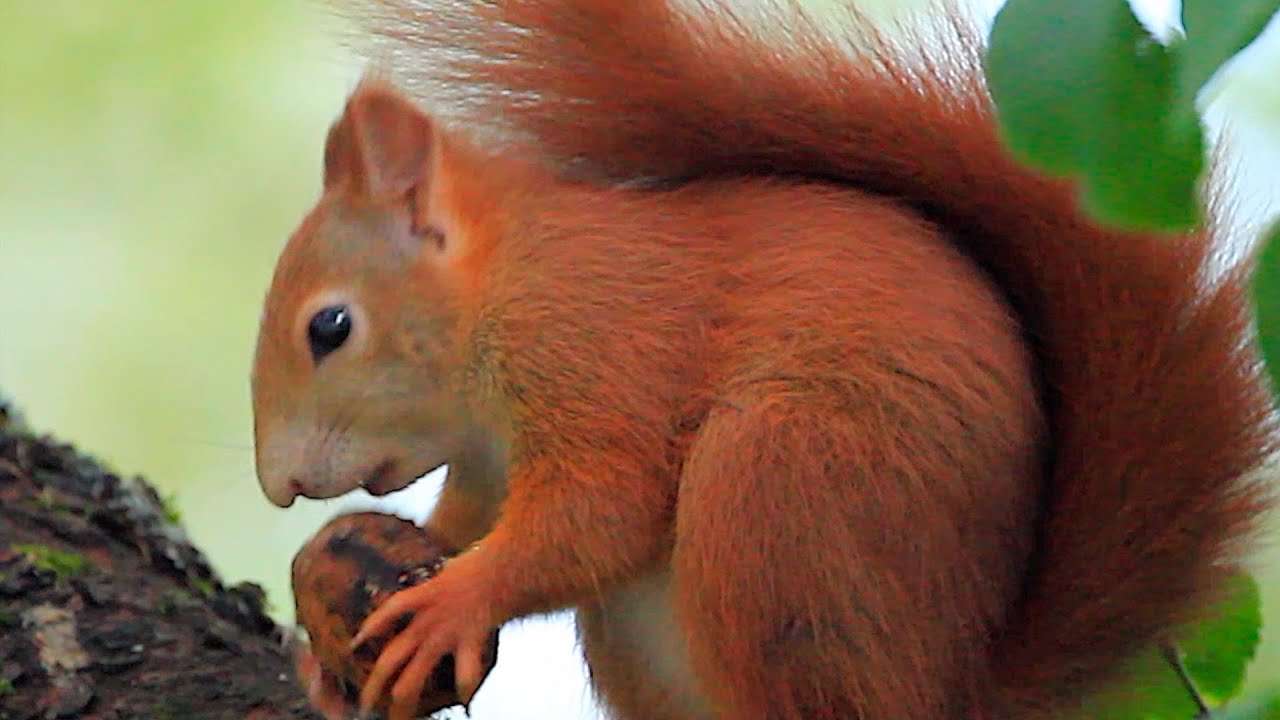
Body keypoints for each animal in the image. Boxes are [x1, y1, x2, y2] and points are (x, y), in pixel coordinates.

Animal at [250, 1, 1278, 719]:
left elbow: (600, 514)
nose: (279, 486)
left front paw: (454, 601)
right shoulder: (488, 460)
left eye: (330, 328)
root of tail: (956, 688)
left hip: (778, 495)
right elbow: (473, 517)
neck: (507, 284)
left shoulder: (601, 346)